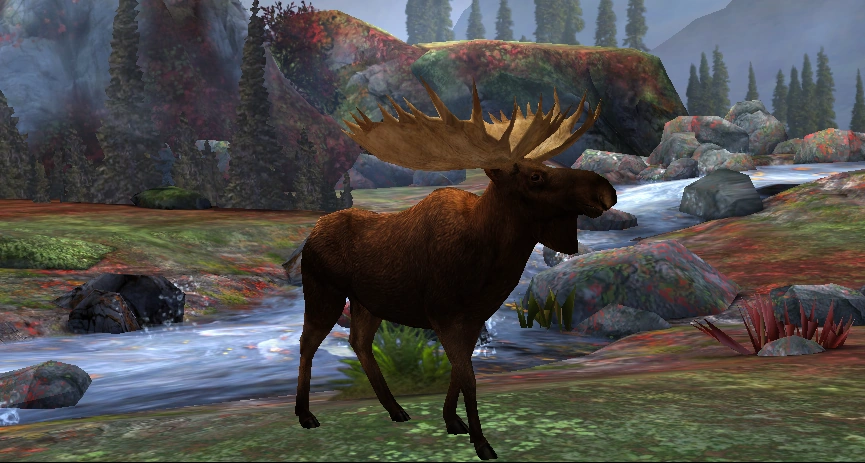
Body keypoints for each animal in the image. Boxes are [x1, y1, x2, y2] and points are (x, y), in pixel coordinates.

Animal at [295, 78, 617, 460]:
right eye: (536, 176)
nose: (606, 191)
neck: (489, 263)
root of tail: (310, 234)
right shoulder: (444, 314)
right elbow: (469, 377)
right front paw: (482, 442)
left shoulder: (474, 317)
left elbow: (457, 373)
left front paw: (452, 421)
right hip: (323, 292)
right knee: (308, 342)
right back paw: (305, 414)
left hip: (367, 302)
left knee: (359, 343)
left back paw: (395, 409)